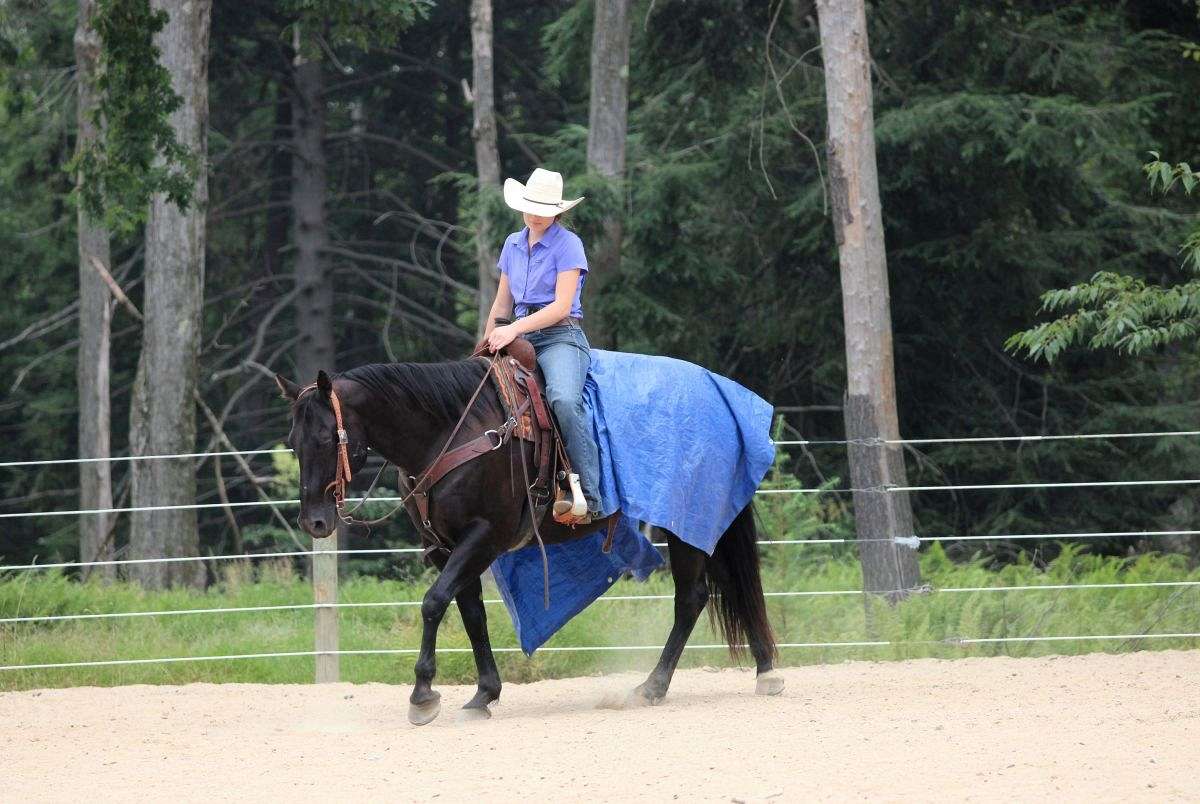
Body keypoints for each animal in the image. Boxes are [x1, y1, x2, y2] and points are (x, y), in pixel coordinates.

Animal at [275, 359, 784, 725]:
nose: (315, 521)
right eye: (294, 441)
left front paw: (422, 695)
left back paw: (653, 687)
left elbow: (434, 602)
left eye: (328, 436)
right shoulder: (446, 546)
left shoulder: (485, 535)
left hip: (686, 524)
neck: (450, 433)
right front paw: (483, 694)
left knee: (691, 598)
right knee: (730, 587)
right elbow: (471, 614)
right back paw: (765, 671)